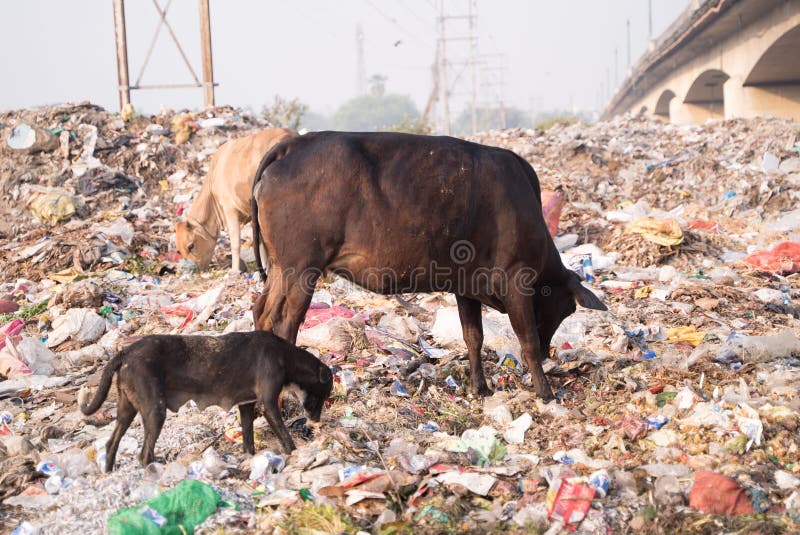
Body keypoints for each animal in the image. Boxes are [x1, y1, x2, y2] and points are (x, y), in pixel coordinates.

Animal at [175, 128, 297, 272]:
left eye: (191, 246)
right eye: (180, 251)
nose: (194, 270)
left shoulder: (230, 209)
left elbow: (235, 243)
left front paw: (235, 270)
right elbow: (260, 242)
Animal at [250, 132, 607, 399]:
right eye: (567, 310)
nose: (549, 354)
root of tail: (293, 145)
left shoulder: (466, 287)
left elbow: (473, 337)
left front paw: (480, 388)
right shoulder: (516, 280)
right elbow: (528, 341)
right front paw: (545, 393)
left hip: (282, 268)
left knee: (262, 311)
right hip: (302, 268)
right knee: (286, 321)